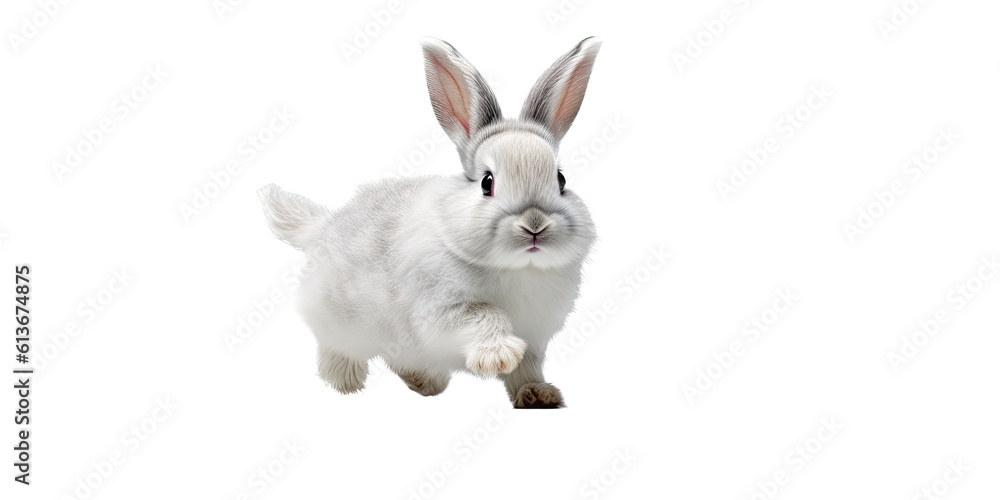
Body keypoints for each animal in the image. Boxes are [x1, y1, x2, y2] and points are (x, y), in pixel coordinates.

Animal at [258, 36, 601, 408]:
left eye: (561, 180)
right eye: (487, 182)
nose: (534, 225)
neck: (519, 267)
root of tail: (323, 226)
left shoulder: (536, 337)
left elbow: (526, 369)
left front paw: (538, 394)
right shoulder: (442, 310)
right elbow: (486, 315)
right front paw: (497, 356)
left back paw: (423, 380)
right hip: (341, 321)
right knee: (333, 351)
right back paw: (347, 382)